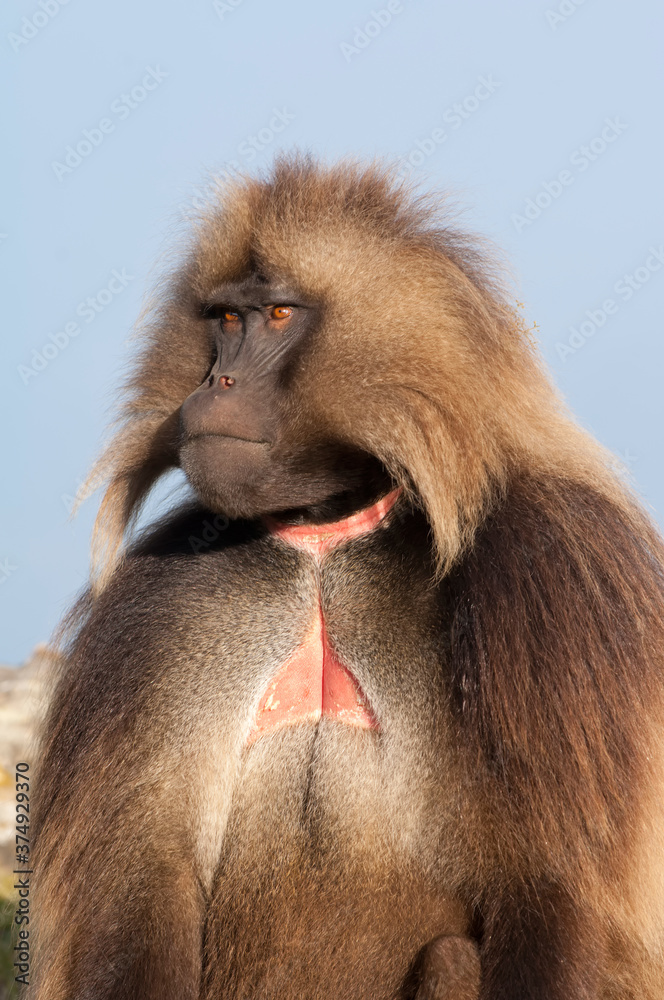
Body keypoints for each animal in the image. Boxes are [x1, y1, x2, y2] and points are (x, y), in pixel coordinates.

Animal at [29, 156, 664, 1000]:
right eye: (224, 321)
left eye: (277, 316)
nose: (215, 387)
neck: (325, 537)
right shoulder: (158, 611)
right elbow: (134, 890)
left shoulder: (551, 574)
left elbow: (554, 887)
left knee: (456, 953)